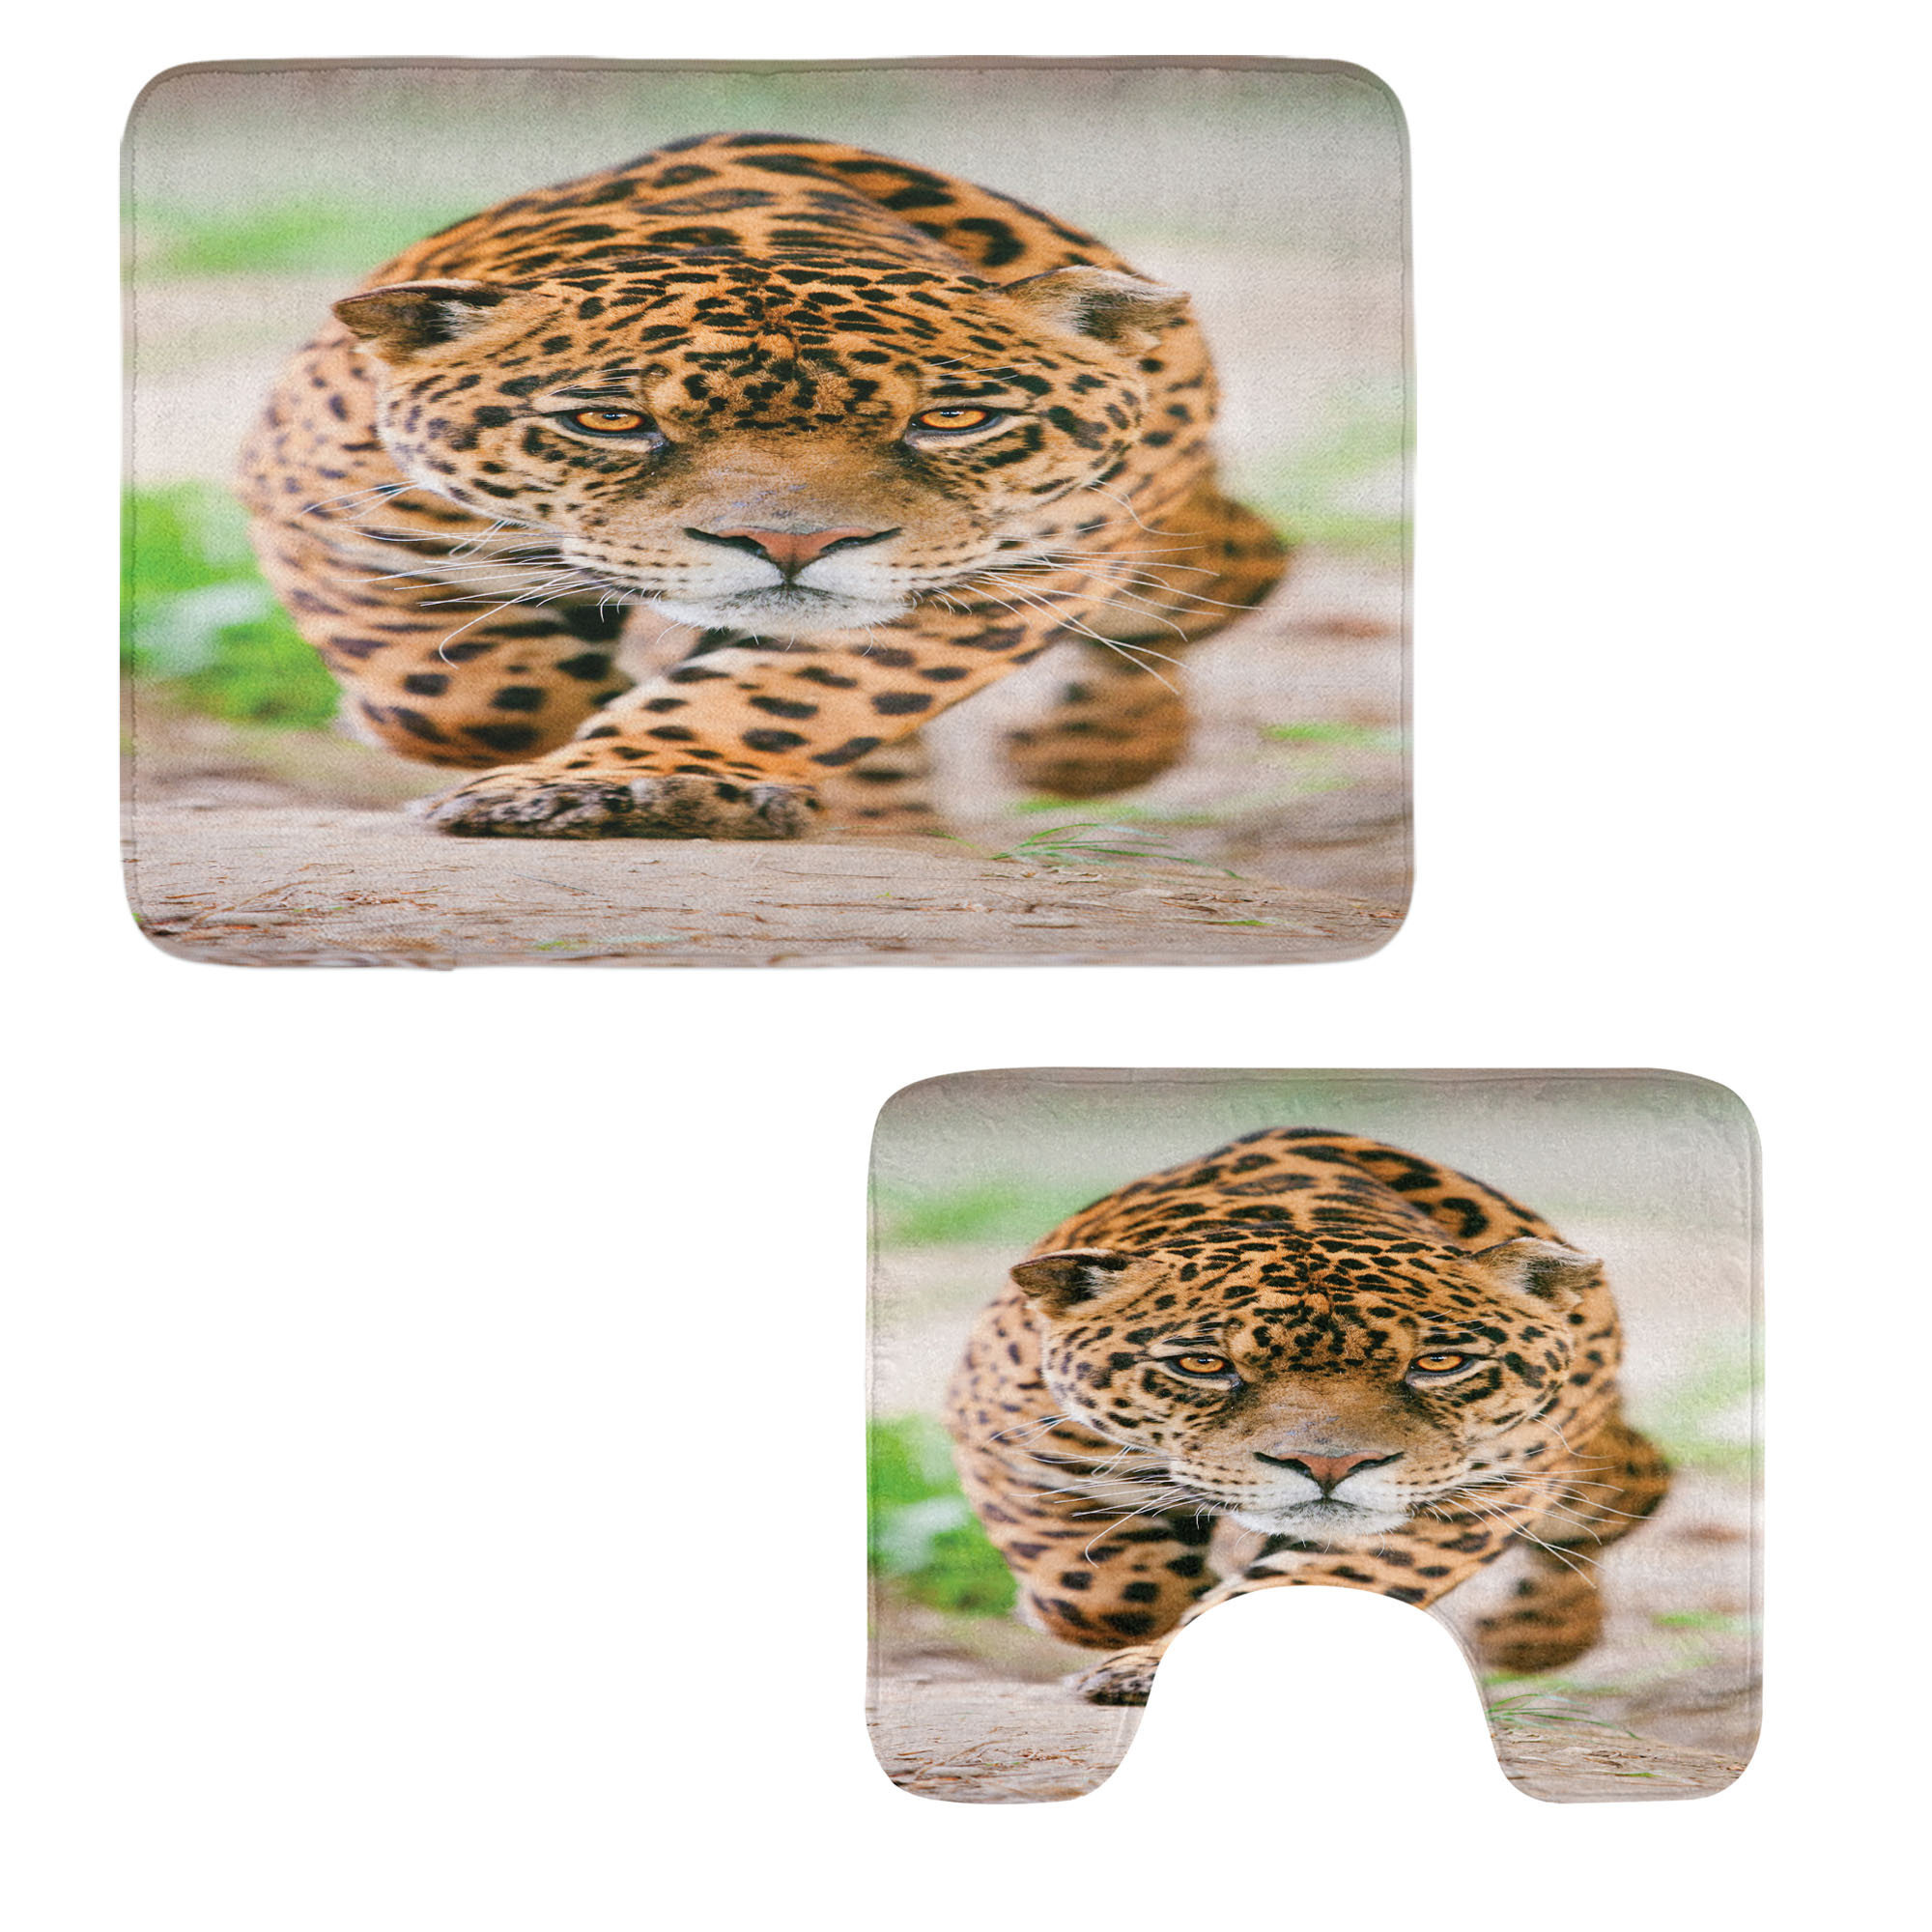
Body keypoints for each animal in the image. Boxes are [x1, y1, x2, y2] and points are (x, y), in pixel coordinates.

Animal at [237, 131, 1287, 839]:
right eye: (608, 422)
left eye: (953, 420)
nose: (792, 546)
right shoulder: (332, 511)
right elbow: (462, 692)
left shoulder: (1017, 574)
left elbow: (801, 690)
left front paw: (614, 781)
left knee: (1237, 568)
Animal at [945, 1128, 1671, 1706]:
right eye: (1203, 1365)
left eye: (1439, 1363)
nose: (1328, 1465)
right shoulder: (1021, 1447)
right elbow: (1102, 1590)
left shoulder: (1474, 1498)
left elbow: (1306, 1582)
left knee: (1634, 1485)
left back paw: (1535, 1633)